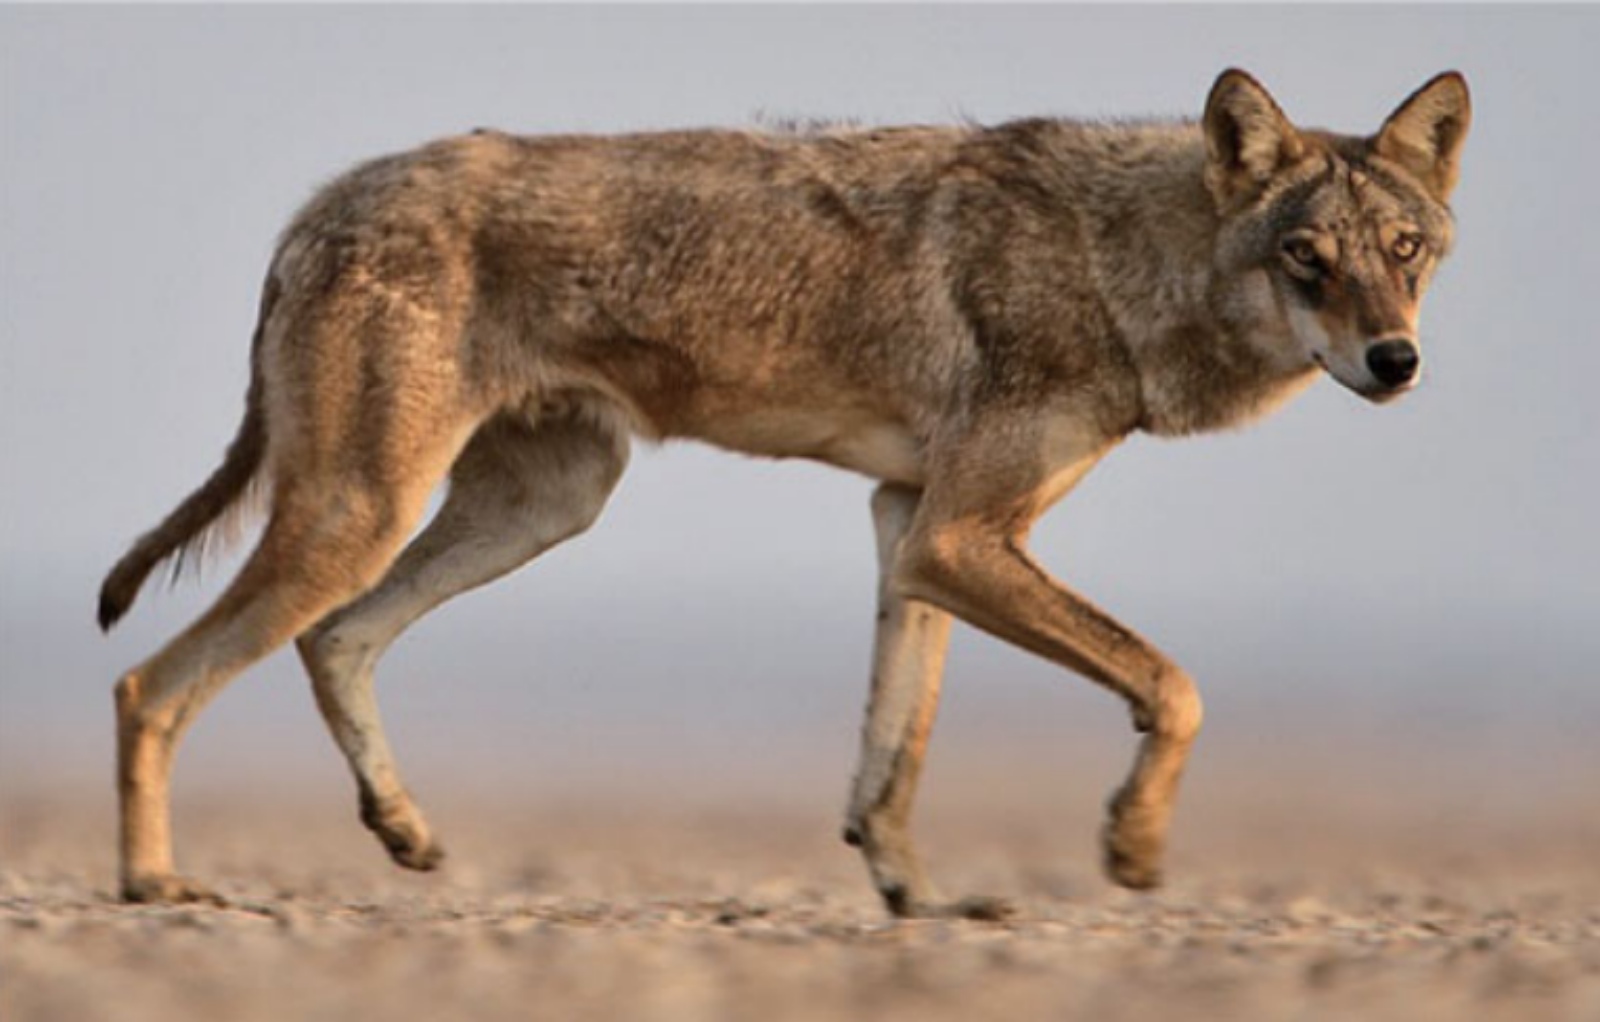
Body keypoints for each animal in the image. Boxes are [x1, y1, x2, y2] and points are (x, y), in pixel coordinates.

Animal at [98, 69, 1470, 914]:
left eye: (1403, 254)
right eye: (1306, 259)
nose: (1394, 360)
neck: (1120, 260)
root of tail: (317, 207)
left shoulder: (910, 527)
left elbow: (895, 753)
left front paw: (916, 896)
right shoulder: (961, 534)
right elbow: (1174, 685)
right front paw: (1128, 846)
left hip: (537, 505)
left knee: (332, 640)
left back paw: (403, 829)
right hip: (365, 511)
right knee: (148, 684)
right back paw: (152, 886)